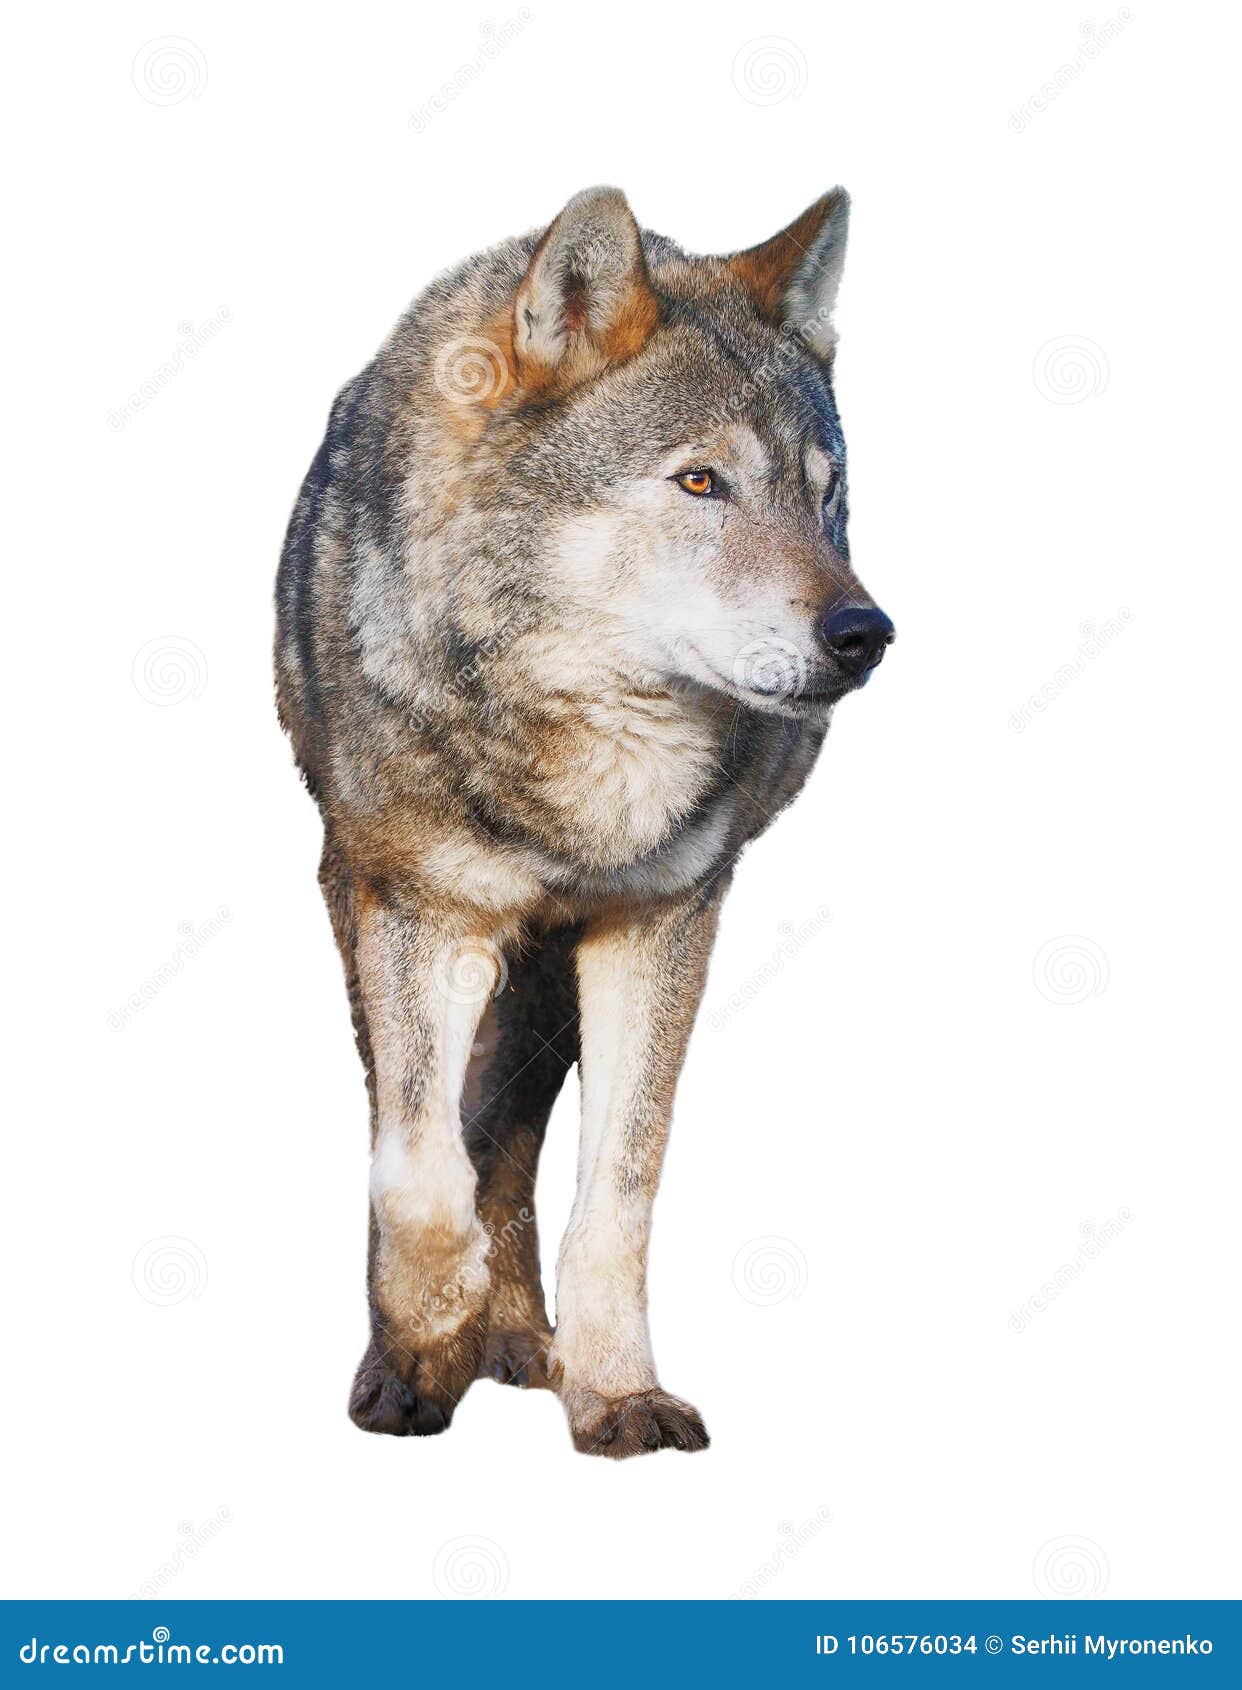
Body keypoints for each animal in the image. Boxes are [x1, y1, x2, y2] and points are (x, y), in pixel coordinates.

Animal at [275, 186, 894, 1457]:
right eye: (701, 483)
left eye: (827, 495)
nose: (865, 633)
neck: (583, 772)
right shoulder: (410, 906)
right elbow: (414, 1161)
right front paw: (429, 1329)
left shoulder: (662, 922)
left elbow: (616, 1188)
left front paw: (612, 1388)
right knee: (428, 1124)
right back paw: (429, 1347)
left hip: (547, 984)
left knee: (508, 1140)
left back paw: (520, 1337)